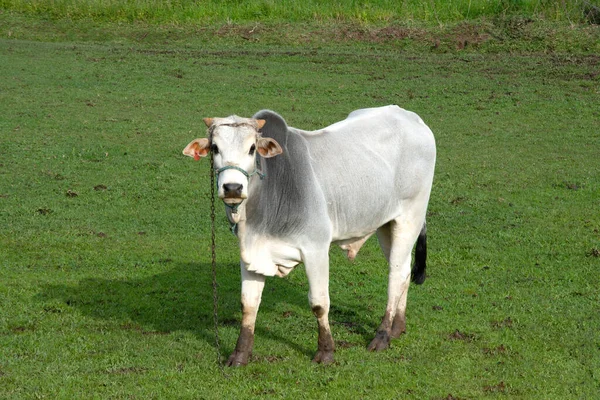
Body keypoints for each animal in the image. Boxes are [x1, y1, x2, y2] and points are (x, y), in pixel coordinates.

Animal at [183, 104, 436, 366]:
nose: (232, 188)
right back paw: (397, 327)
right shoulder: (251, 252)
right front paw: (240, 354)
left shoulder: (316, 249)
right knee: (404, 270)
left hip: (410, 217)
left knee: (396, 276)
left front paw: (326, 351)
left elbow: (319, 303)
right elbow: (248, 304)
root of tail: (411, 118)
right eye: (215, 148)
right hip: (387, 225)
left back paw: (382, 335)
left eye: (252, 148)